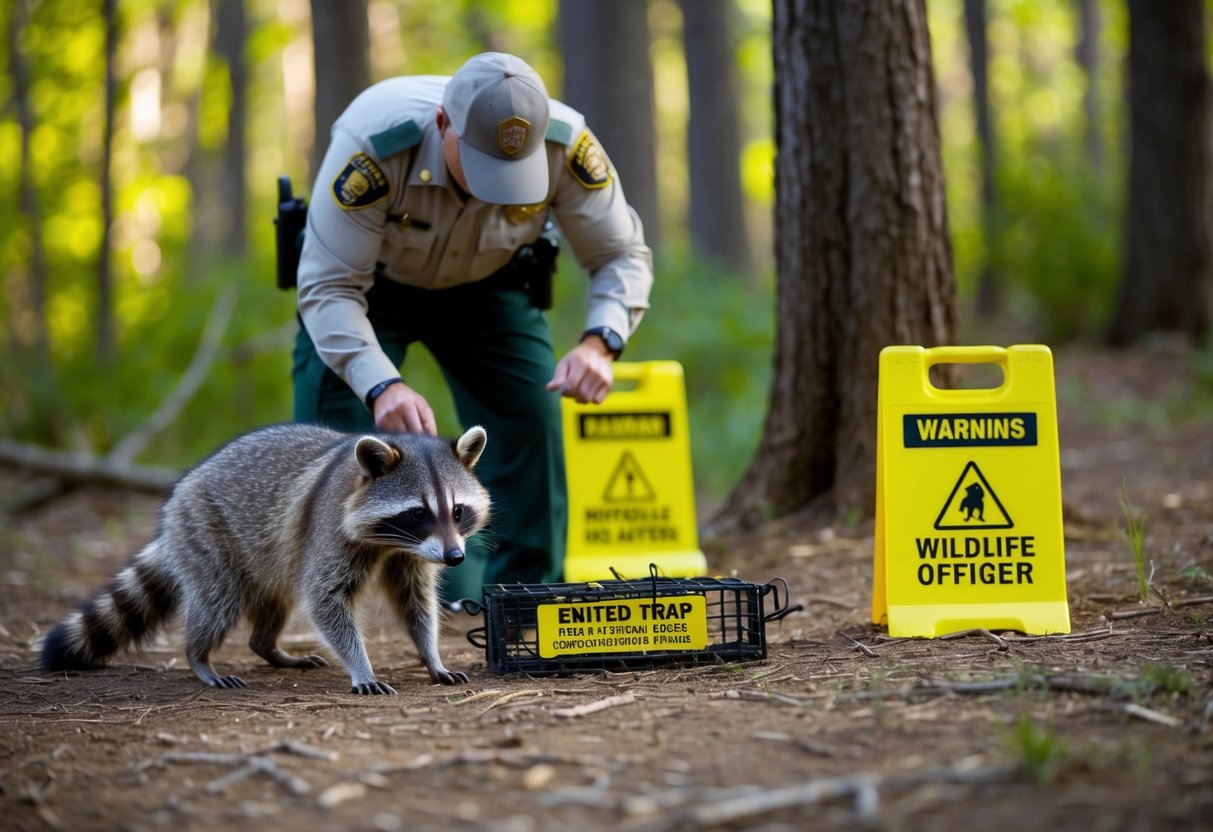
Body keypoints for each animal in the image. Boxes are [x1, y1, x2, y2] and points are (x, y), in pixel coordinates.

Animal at [40, 423, 491, 694]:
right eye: (418, 513)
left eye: (457, 511)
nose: (454, 557)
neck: (392, 542)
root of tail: (179, 499)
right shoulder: (329, 529)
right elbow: (325, 600)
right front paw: (361, 666)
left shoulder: (410, 555)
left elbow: (415, 603)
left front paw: (431, 655)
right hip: (207, 533)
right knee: (217, 603)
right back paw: (198, 655)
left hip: (265, 560)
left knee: (275, 604)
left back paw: (269, 647)